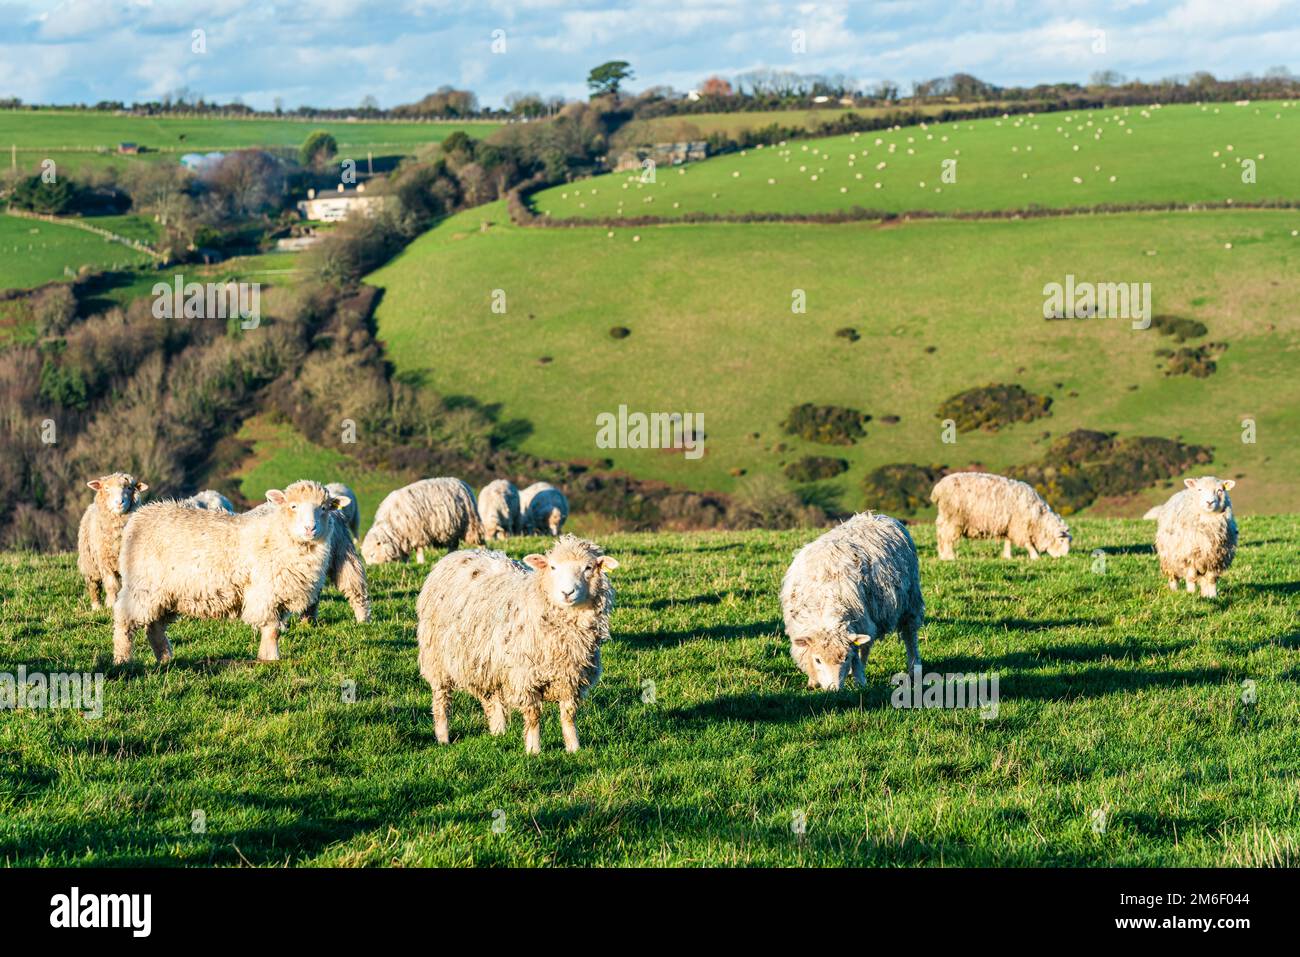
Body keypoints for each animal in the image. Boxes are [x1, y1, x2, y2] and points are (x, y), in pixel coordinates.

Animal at [77, 472, 149, 610]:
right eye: (107, 488)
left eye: (129, 488)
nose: (119, 502)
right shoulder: (105, 562)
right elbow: (111, 585)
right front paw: (110, 604)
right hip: (90, 562)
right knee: (94, 585)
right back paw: (96, 606)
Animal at [112, 480, 350, 664]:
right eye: (293, 506)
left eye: (324, 508)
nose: (310, 529)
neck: (279, 534)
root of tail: (141, 516)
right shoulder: (264, 593)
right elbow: (272, 629)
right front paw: (272, 659)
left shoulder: (278, 596)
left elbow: (274, 629)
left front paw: (266, 657)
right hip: (143, 586)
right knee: (124, 620)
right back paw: (123, 659)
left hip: (167, 593)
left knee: (154, 627)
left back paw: (165, 659)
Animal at [416, 535, 619, 754]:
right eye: (553, 567)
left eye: (588, 567)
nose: (567, 592)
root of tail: (461, 552)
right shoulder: (525, 676)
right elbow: (533, 715)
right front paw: (533, 750)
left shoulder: (571, 677)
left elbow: (568, 715)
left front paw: (574, 748)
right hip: (437, 657)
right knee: (441, 698)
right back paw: (443, 736)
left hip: (485, 662)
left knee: (491, 698)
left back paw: (498, 732)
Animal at [780, 512, 924, 690]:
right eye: (818, 660)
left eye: (845, 658)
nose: (833, 690)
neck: (825, 603)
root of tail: (877, 516)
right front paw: (812, 681)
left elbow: (857, 656)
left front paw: (859, 681)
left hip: (910, 601)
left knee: (909, 635)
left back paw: (913, 668)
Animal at [931, 472, 1071, 560]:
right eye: (1061, 540)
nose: (1063, 557)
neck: (1038, 518)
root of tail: (938, 488)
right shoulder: (1020, 527)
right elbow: (1028, 543)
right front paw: (1035, 556)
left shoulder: (1010, 526)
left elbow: (1008, 541)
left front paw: (1007, 556)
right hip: (952, 519)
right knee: (947, 538)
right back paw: (950, 557)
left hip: (946, 518)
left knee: (940, 536)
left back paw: (942, 556)